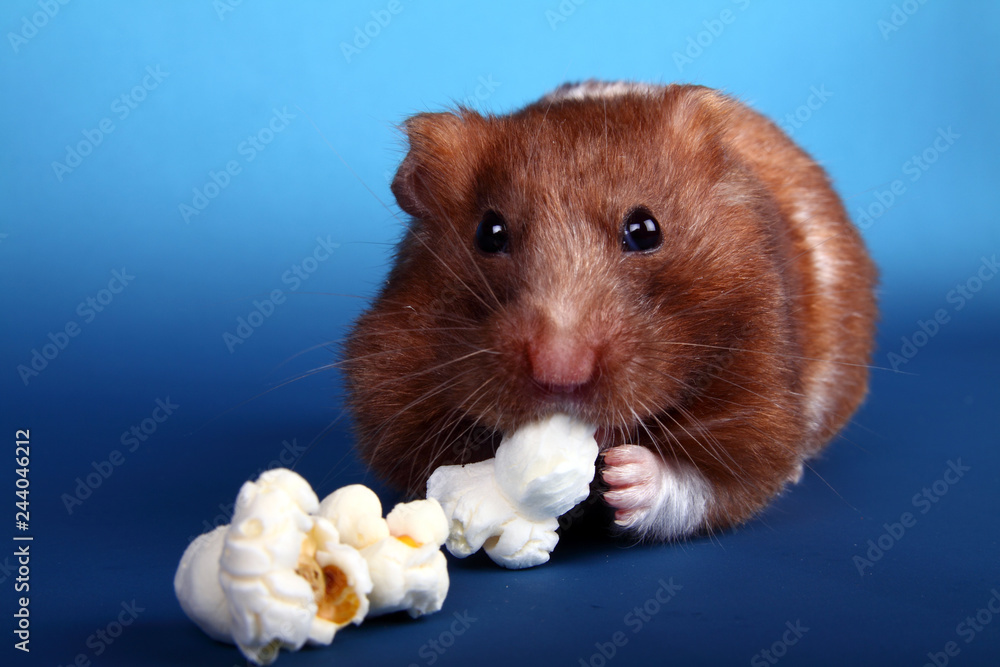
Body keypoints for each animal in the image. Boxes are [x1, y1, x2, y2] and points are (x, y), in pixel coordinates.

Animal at [343, 81, 877, 541]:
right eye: (489, 234)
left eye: (645, 230)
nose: (561, 373)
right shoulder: (389, 383)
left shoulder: (757, 383)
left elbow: (715, 483)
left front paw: (625, 477)